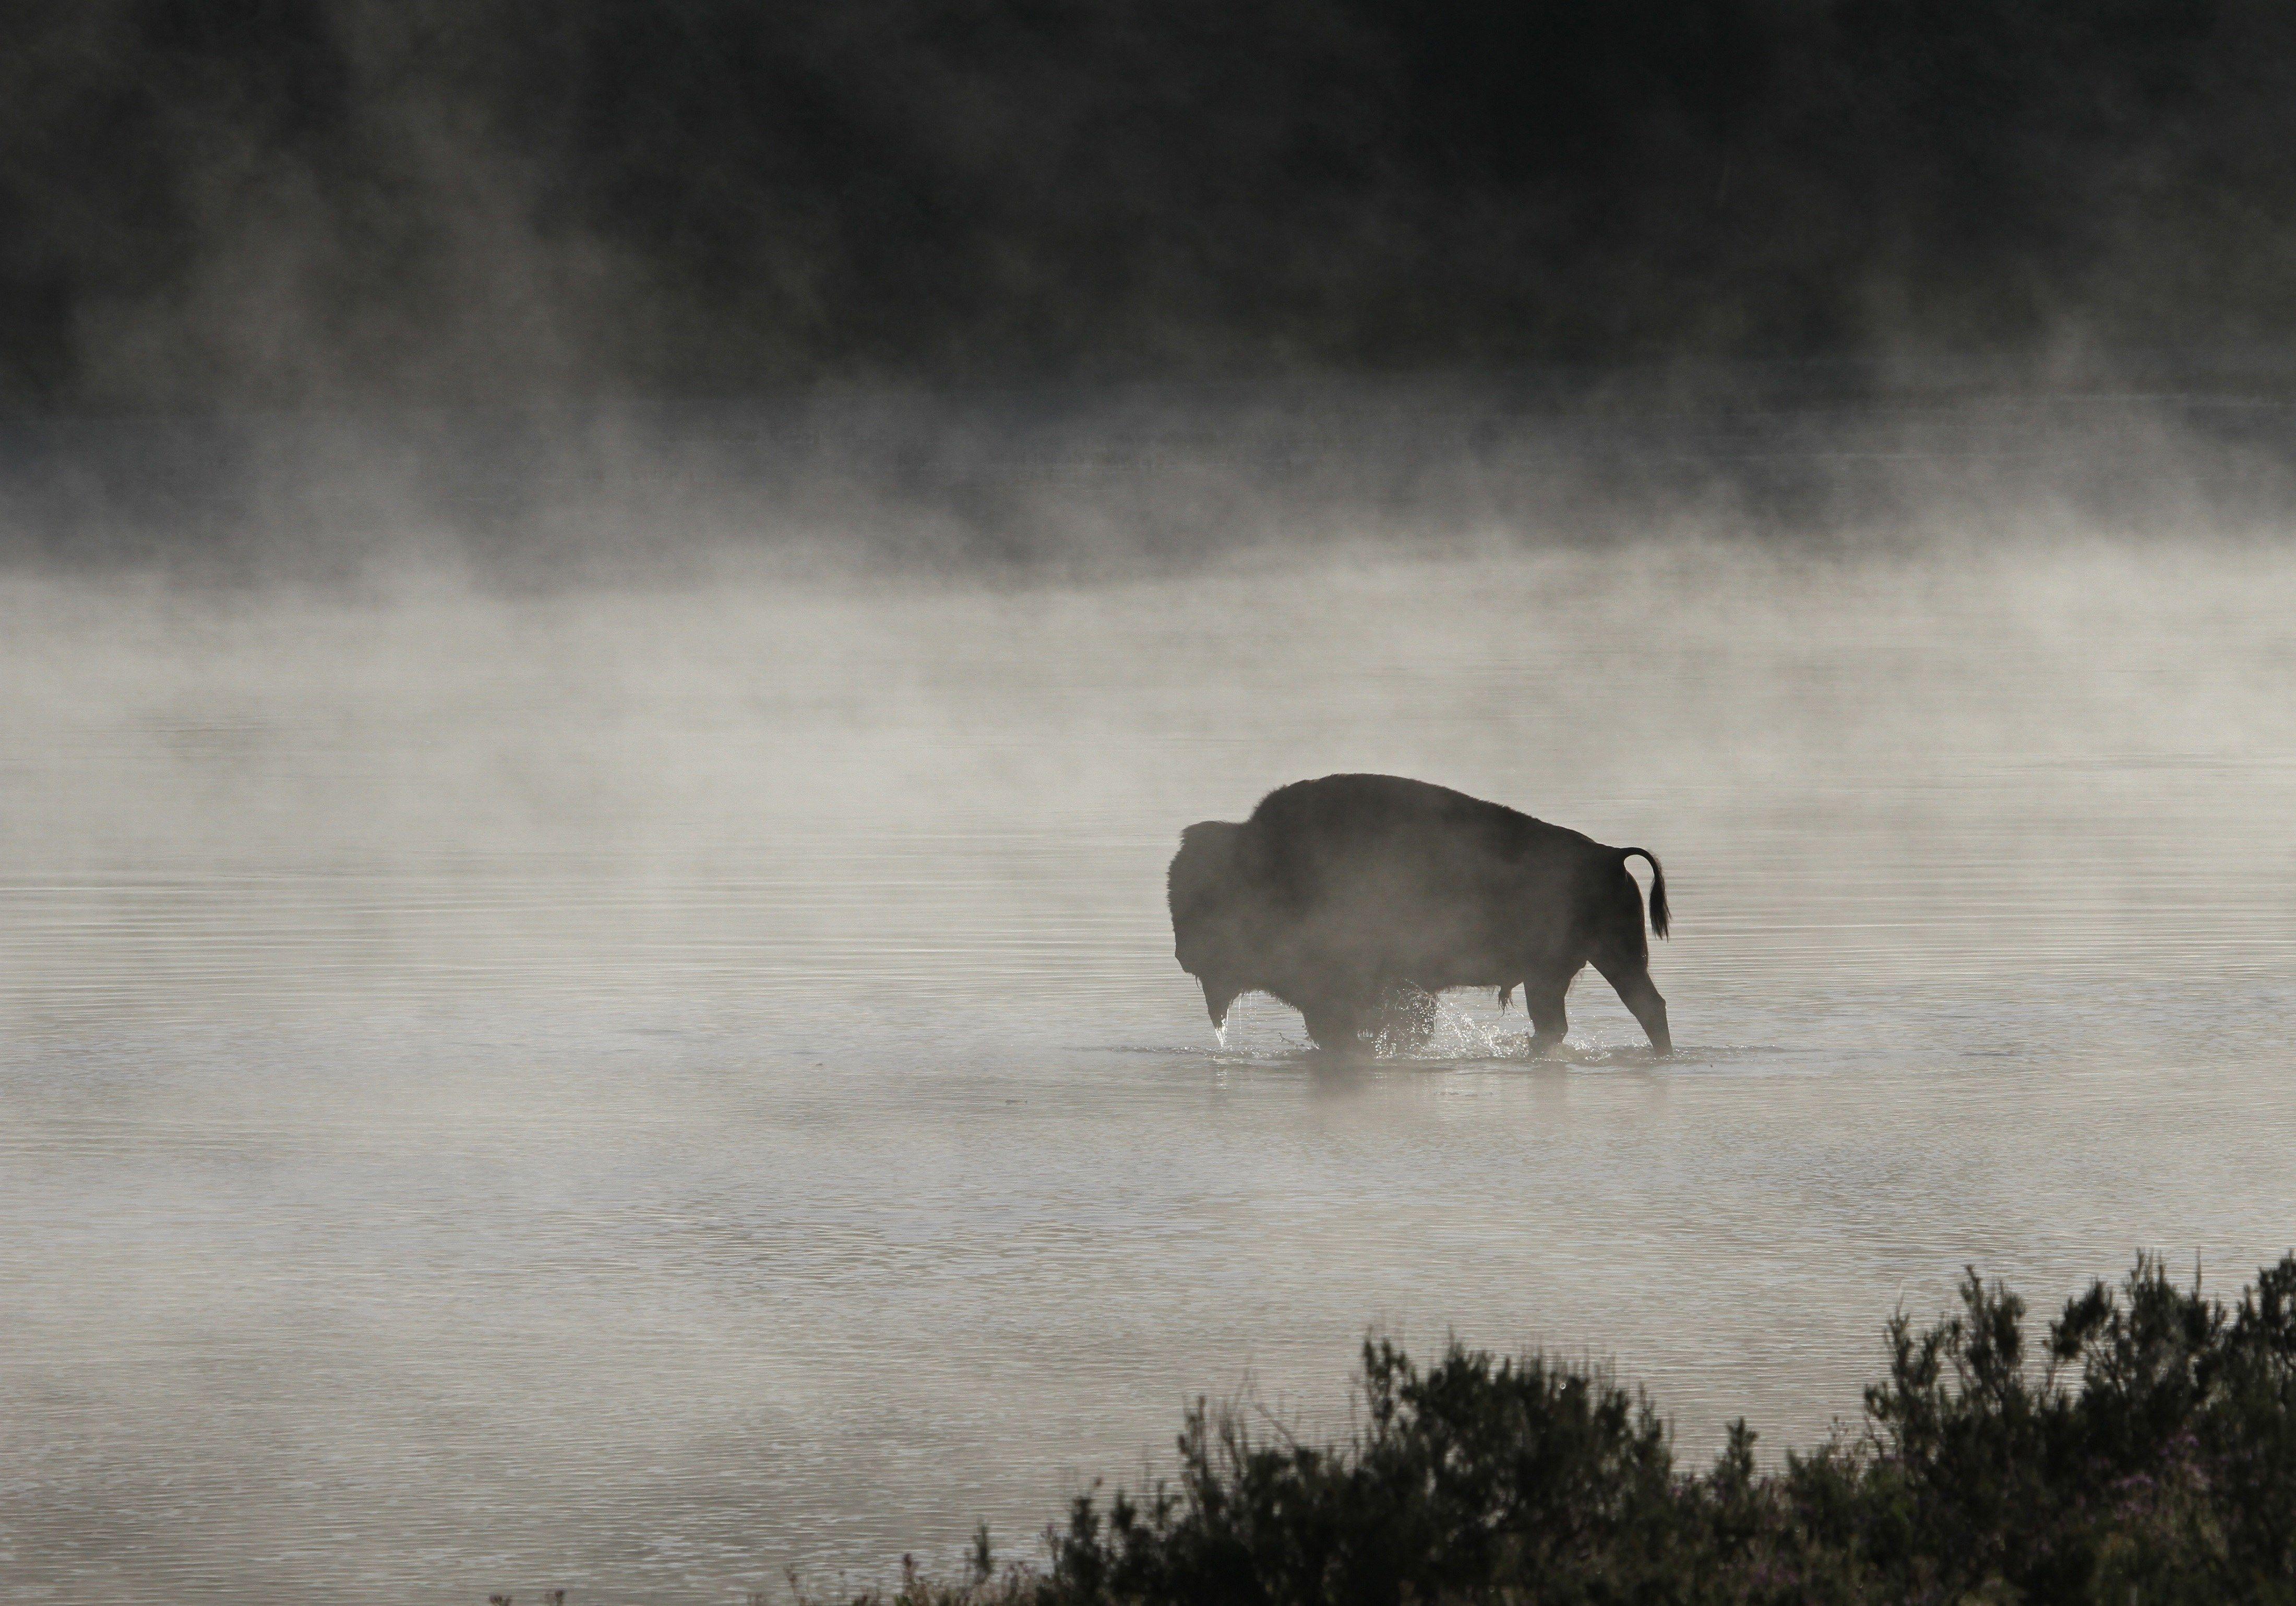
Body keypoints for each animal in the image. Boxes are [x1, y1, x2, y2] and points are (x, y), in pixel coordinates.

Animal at [1167, 773, 1671, 1054]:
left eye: (1205, 899)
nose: (1183, 955)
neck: (1271, 863)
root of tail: (1609, 857)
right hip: (1583, 968)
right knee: (1627, 1012)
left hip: (1584, 966)